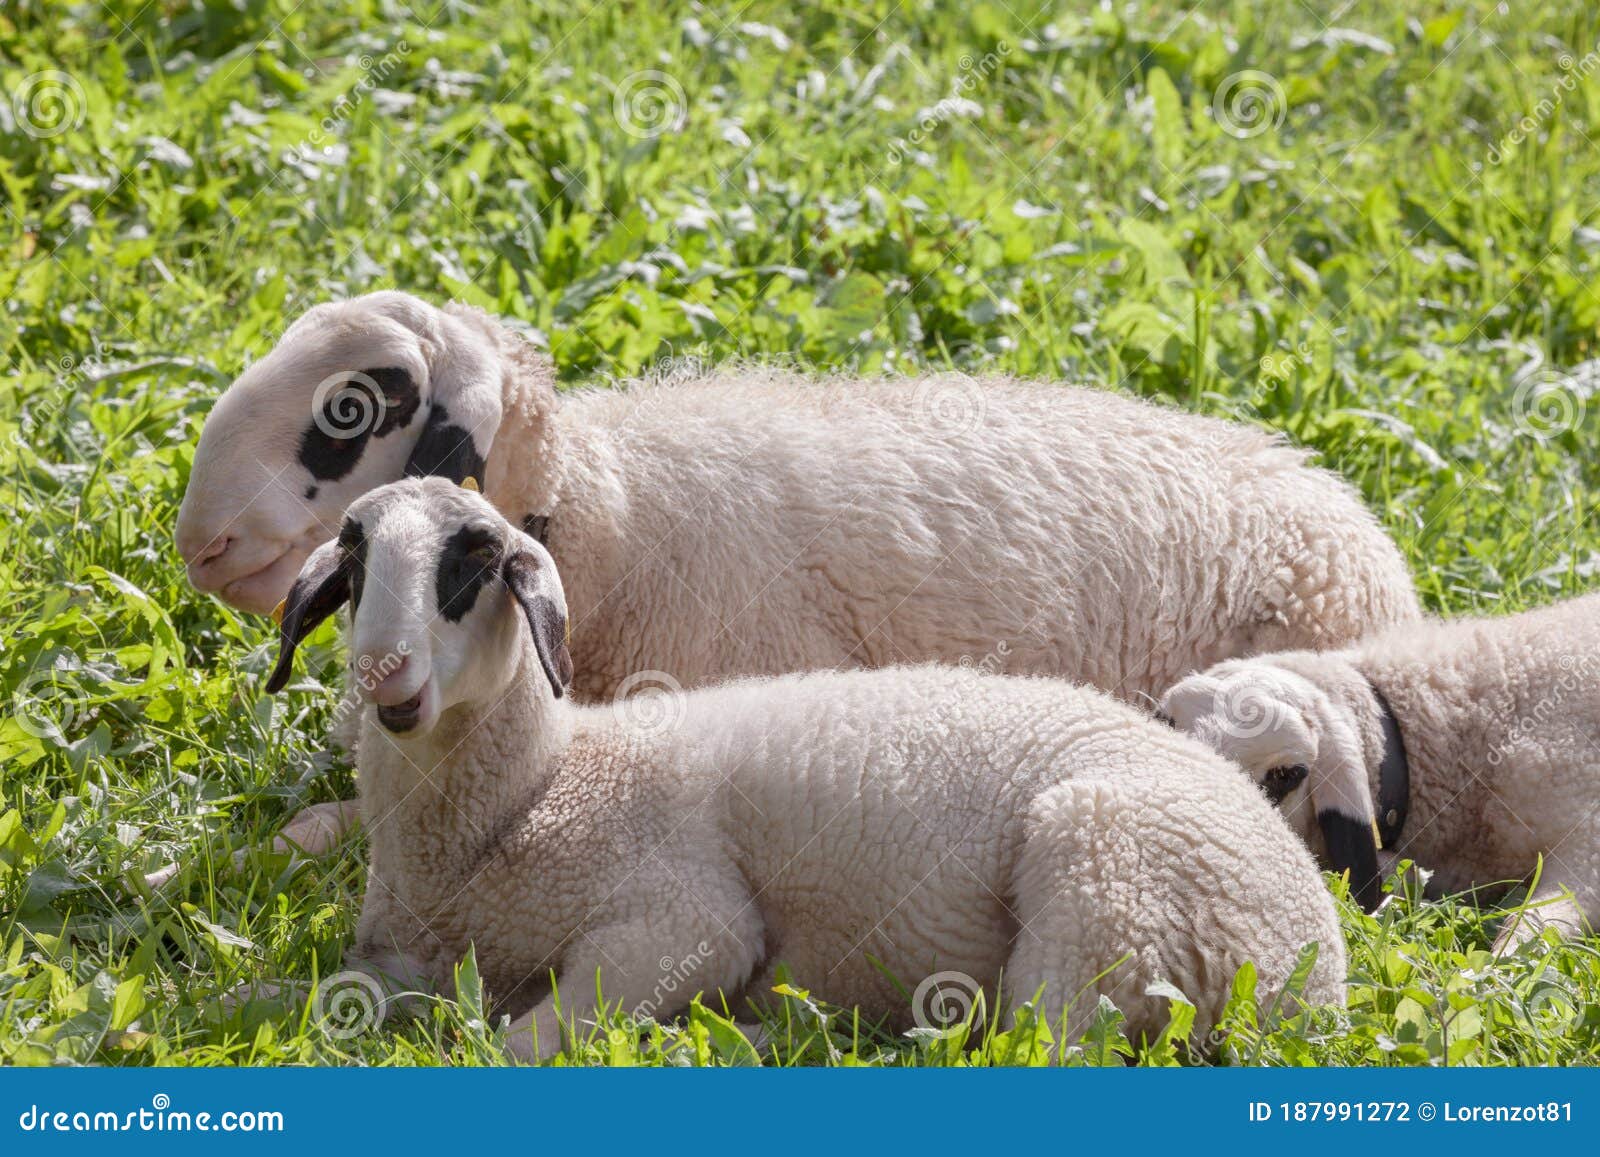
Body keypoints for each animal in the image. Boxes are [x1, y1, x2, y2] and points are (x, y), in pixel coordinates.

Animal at [262, 476, 1349, 1059]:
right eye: (353, 561)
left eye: (476, 562)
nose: (386, 675)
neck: (532, 795)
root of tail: (1317, 970)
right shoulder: (393, 956)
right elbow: (303, 995)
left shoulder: (682, 921)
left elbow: (505, 1044)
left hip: (1100, 886)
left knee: (1041, 1050)